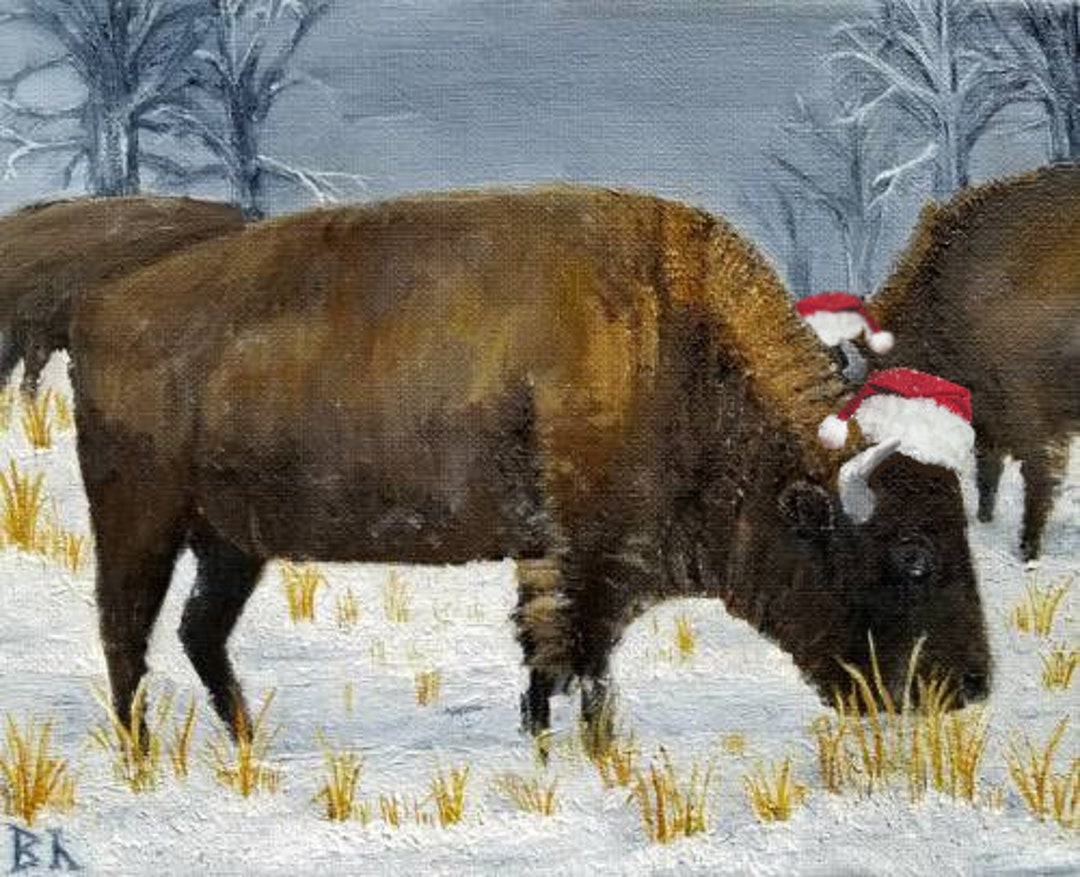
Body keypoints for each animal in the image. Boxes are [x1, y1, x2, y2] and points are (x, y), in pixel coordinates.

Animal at [68, 186, 991, 738]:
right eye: (913, 554)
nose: (973, 683)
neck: (678, 342)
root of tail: (102, 304)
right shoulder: (590, 560)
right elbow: (583, 666)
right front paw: (598, 755)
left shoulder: (547, 555)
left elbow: (545, 663)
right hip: (141, 522)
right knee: (125, 635)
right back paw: (145, 754)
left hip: (230, 540)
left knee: (196, 630)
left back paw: (247, 741)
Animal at [869, 165, 1080, 562]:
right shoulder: (990, 415)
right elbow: (988, 472)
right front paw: (986, 521)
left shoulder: (1027, 410)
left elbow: (1036, 477)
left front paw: (1027, 551)